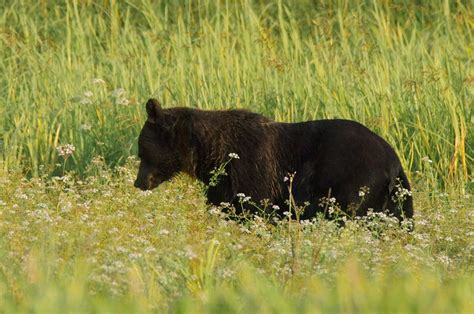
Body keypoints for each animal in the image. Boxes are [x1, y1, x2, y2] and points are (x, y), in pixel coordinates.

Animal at [134, 99, 414, 222]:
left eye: (141, 150)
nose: (139, 182)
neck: (210, 152)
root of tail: (392, 160)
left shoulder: (249, 169)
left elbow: (253, 207)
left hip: (354, 182)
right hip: (396, 197)